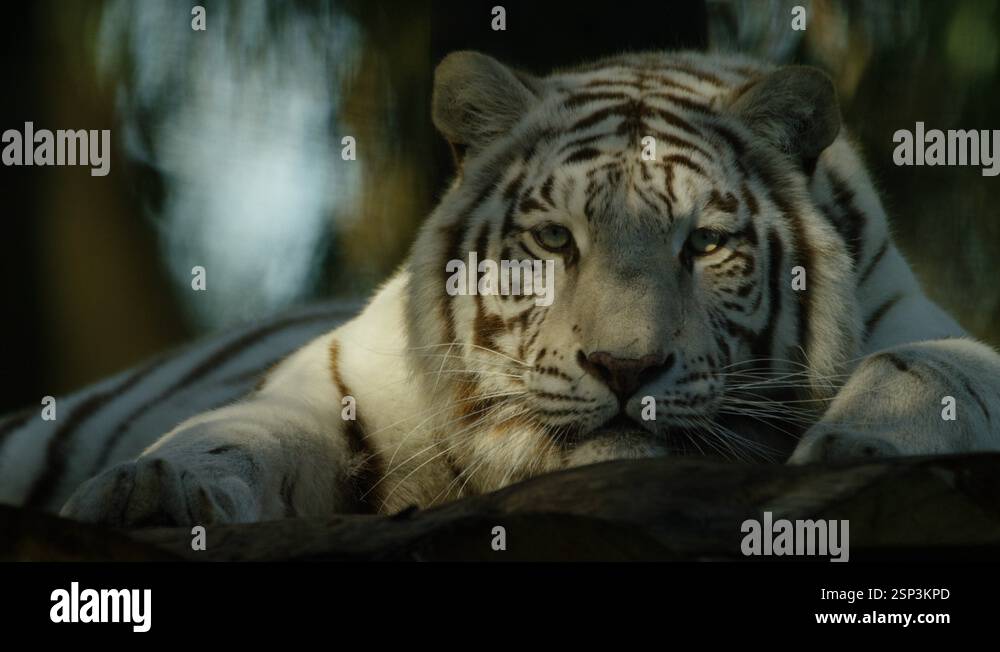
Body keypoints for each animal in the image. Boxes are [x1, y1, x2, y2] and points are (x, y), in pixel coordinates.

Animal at [2, 49, 1000, 527]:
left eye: (706, 244)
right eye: (555, 239)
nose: (624, 369)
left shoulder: (922, 327)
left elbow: (929, 370)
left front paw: (858, 447)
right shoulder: (334, 380)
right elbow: (237, 434)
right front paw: (153, 487)